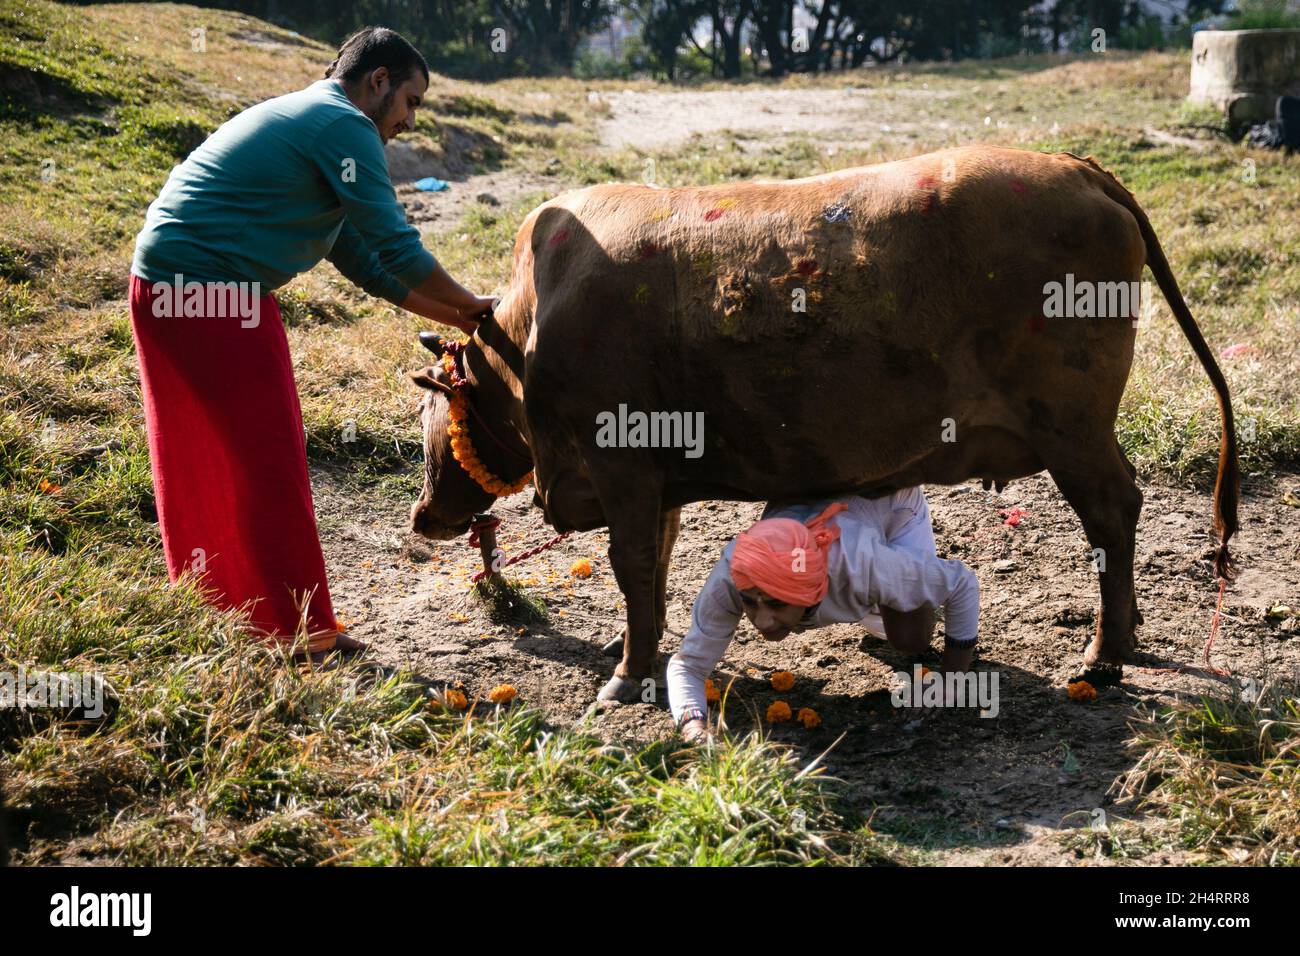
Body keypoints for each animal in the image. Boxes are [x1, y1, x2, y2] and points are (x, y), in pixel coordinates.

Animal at [408, 145, 1239, 704]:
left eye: (428, 411)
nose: (422, 516)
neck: (528, 334)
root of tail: (1076, 167)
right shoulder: (654, 474)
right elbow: (656, 564)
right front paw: (630, 643)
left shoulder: (620, 463)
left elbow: (633, 565)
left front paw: (625, 675)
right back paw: (1127, 633)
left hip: (1073, 428)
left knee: (1113, 514)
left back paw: (1104, 653)